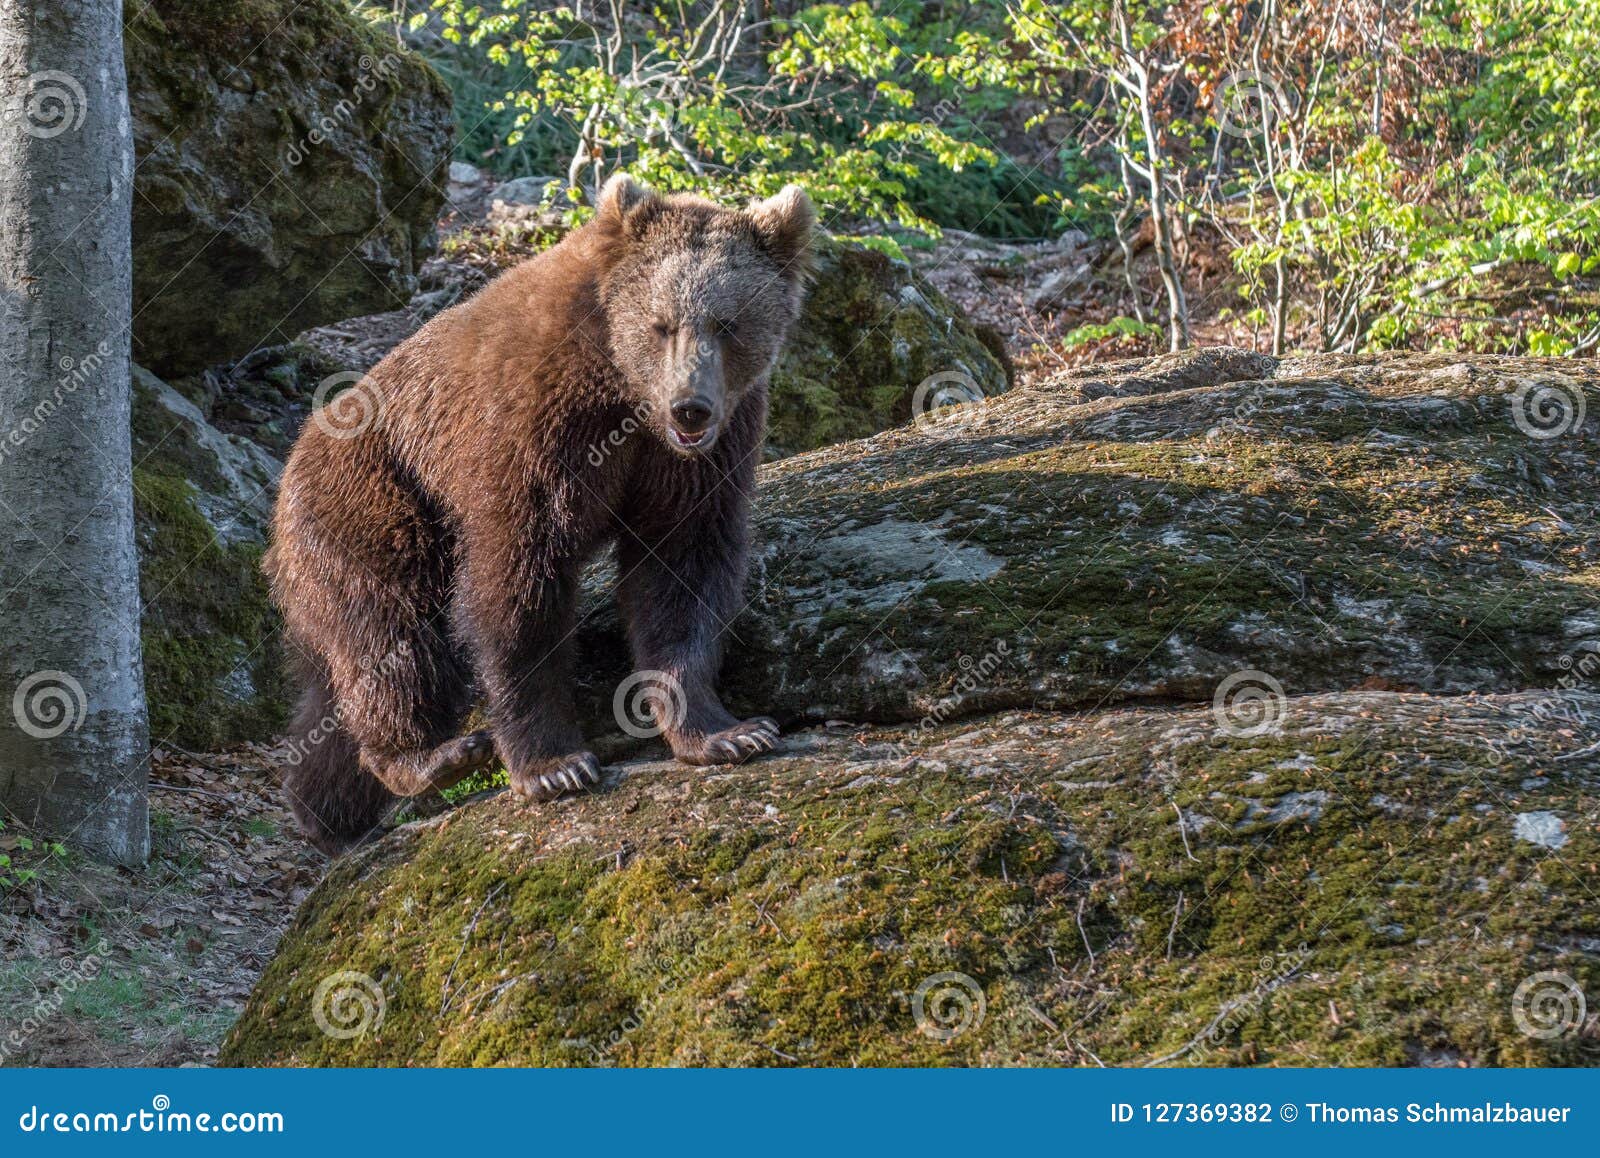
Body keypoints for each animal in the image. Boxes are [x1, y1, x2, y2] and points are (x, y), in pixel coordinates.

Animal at [264, 174, 815, 854]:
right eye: (661, 325)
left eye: (728, 324)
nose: (690, 407)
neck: (623, 393)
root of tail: (294, 457)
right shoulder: (536, 433)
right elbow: (519, 586)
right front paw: (554, 765)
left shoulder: (702, 459)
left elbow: (684, 571)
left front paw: (726, 731)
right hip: (375, 500)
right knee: (392, 634)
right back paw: (427, 755)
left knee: (332, 679)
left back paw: (325, 807)